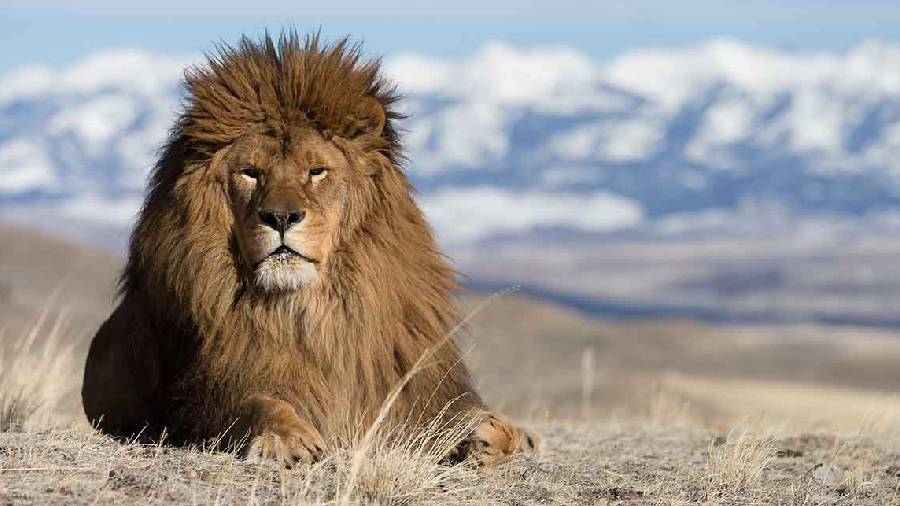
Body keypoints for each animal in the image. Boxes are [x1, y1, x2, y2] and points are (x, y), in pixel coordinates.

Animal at [81, 32, 537, 468]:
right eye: (250, 172)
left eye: (316, 171)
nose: (281, 217)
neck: (311, 313)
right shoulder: (203, 390)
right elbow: (256, 403)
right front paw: (286, 437)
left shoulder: (410, 386)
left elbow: (471, 417)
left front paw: (493, 437)